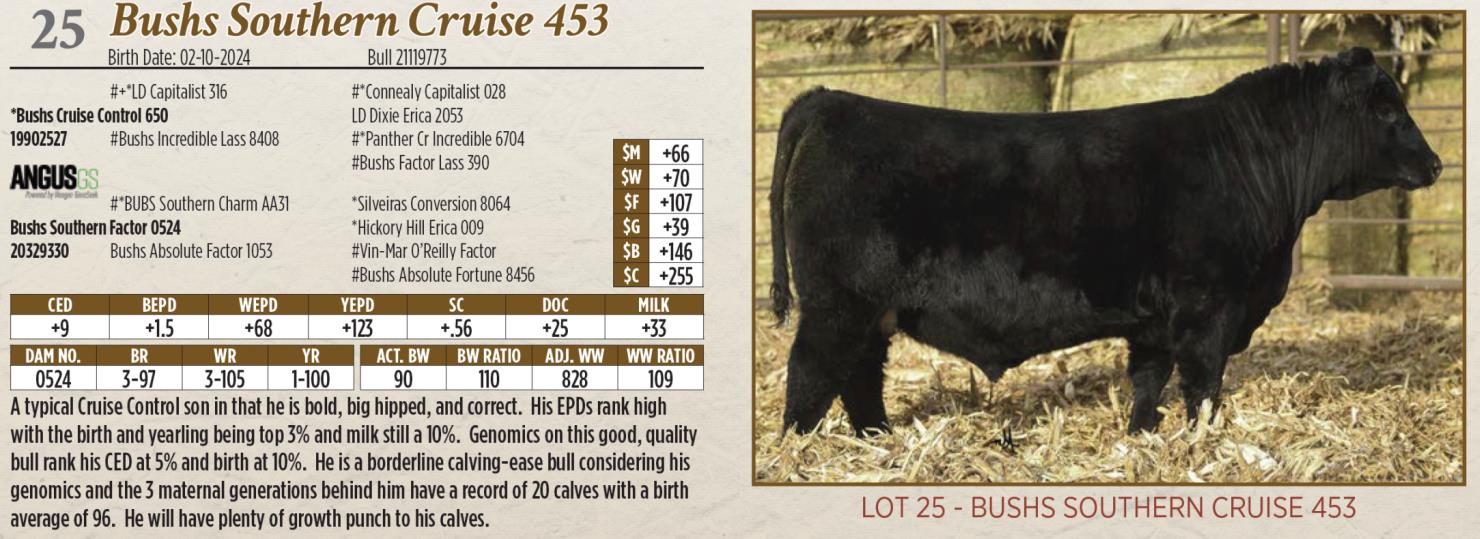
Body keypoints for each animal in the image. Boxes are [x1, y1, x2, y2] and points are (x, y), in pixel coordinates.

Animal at [768, 47, 1442, 436]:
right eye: (1388, 112)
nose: (1436, 164)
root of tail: (829, 100)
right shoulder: (1209, 307)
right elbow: (1203, 384)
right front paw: (1200, 442)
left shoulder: (1156, 318)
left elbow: (1148, 380)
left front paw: (1142, 437)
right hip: (837, 303)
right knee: (810, 373)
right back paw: (797, 450)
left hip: (869, 312)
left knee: (859, 376)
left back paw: (877, 441)